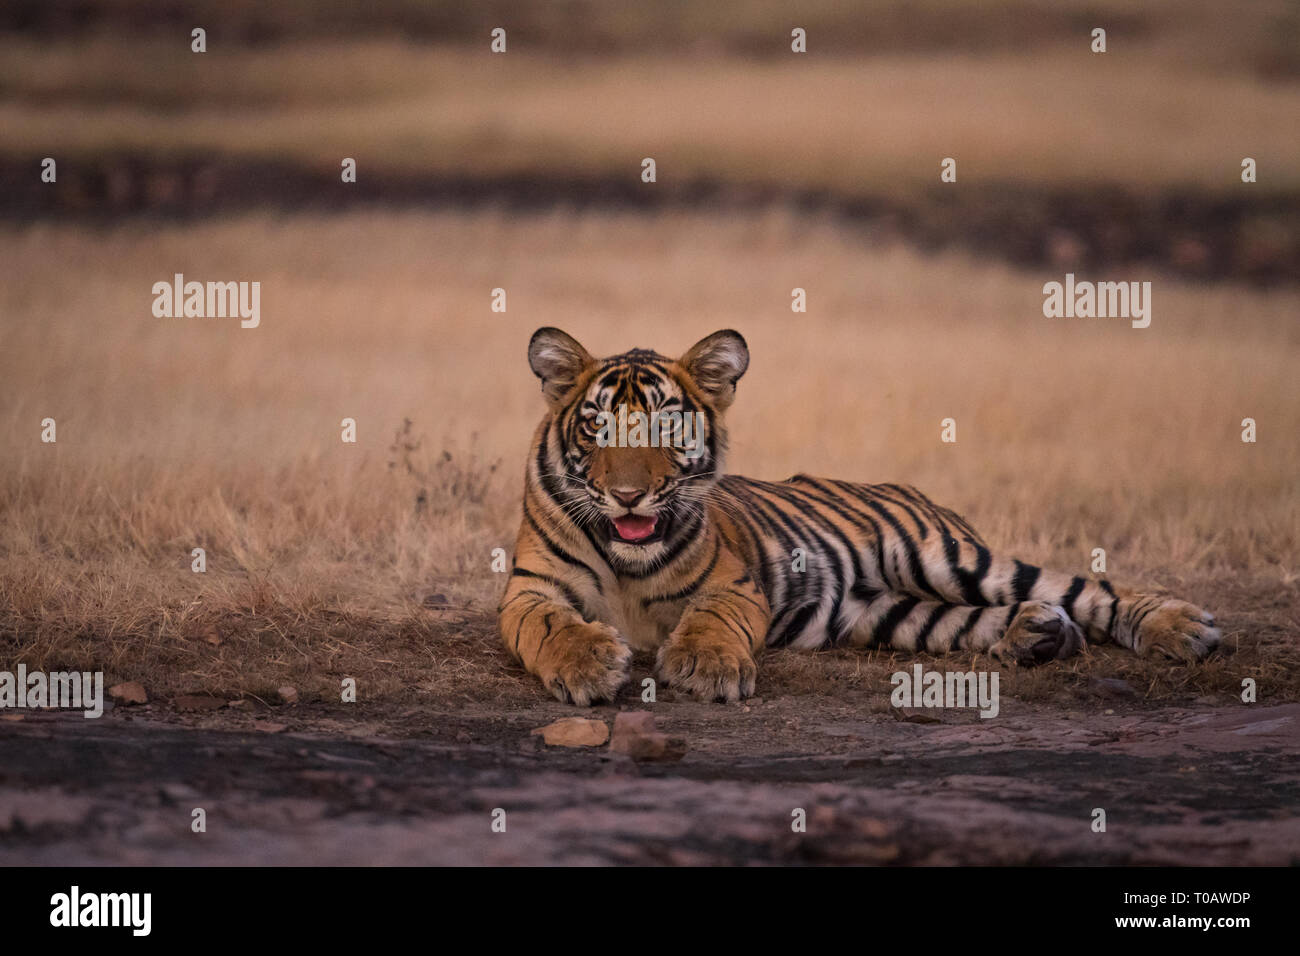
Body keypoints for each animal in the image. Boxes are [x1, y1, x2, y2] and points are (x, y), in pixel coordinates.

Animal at [499, 327, 1222, 705]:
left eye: (665, 427)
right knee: (987, 618)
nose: (627, 496)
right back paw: (1038, 636)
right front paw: (587, 666)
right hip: (897, 615)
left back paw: (1183, 629)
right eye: (596, 426)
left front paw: (705, 667)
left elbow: (710, 620)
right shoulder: (531, 590)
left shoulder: (733, 586)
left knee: (1087, 588)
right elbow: (548, 626)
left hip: (948, 558)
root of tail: (919, 493)